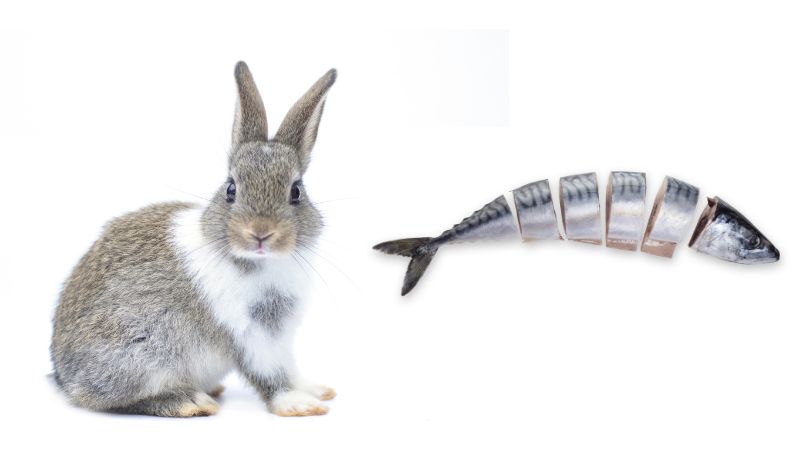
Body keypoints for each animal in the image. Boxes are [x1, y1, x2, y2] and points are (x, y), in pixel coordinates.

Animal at [50, 61, 338, 417]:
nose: (260, 232)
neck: (255, 261)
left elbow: (291, 369)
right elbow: (271, 375)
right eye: (231, 189)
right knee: (105, 398)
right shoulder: (253, 337)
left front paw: (316, 391)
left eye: (296, 192)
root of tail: (63, 375)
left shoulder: (277, 338)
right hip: (143, 352)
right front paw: (298, 405)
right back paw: (190, 401)